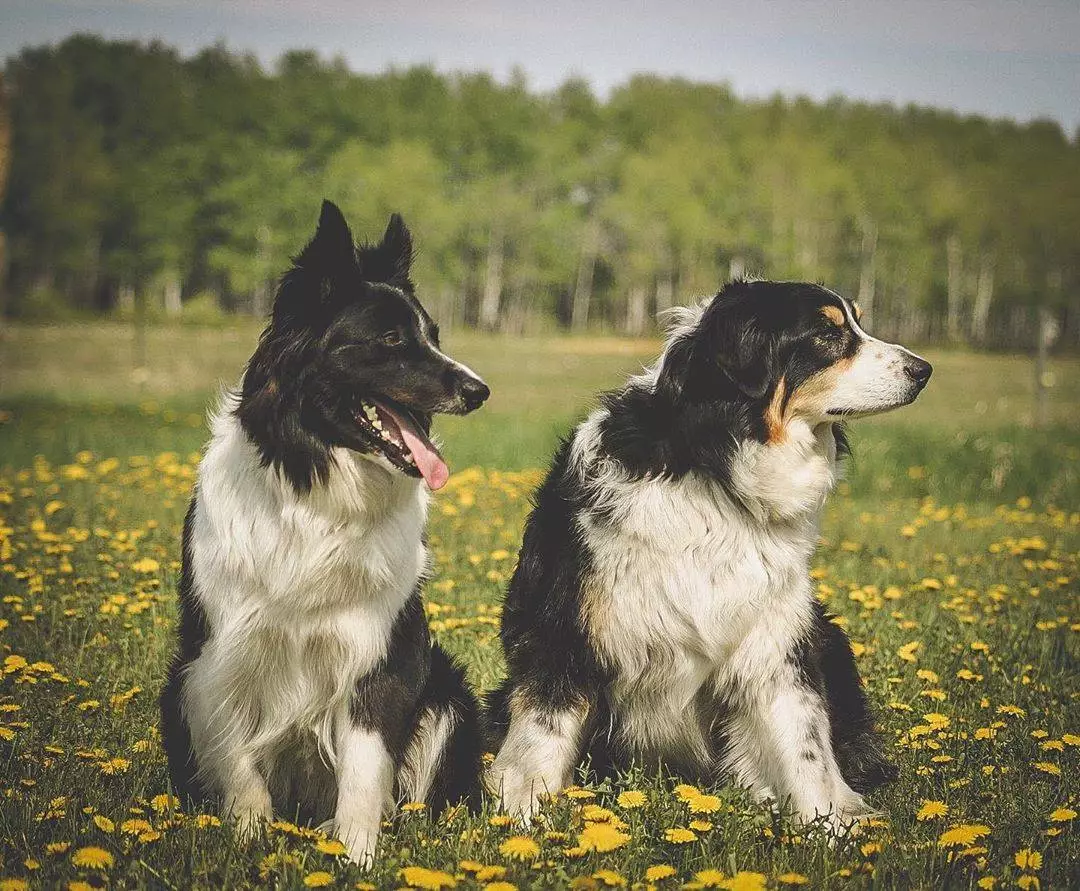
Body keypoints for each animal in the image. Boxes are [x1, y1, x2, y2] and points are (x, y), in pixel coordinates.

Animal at [158, 199, 490, 864]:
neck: (319, 494)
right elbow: (239, 765)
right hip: (174, 687)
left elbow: (363, 771)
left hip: (446, 690)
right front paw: (248, 839)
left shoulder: (376, 654)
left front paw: (357, 856)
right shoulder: (220, 658)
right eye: (389, 339)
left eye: (434, 337)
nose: (479, 390)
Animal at [490, 280, 928, 829]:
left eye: (858, 323)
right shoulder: (563, 625)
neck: (714, 470)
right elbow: (540, 737)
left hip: (828, 635)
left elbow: (804, 739)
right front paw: (520, 823)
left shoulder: (776, 630)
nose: (924, 370)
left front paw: (828, 825)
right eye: (827, 333)